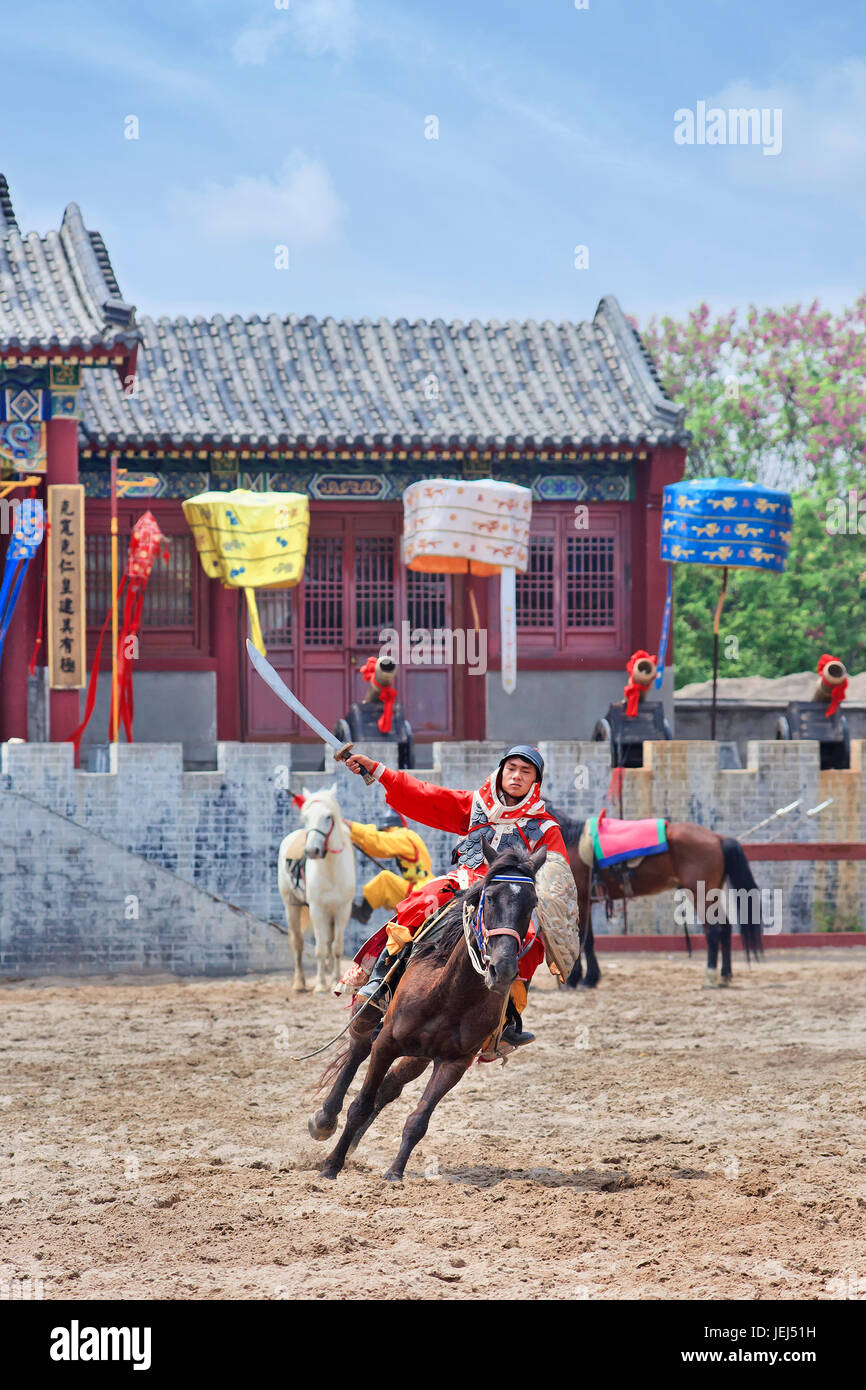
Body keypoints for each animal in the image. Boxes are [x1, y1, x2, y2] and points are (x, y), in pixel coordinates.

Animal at [277, 785, 355, 994]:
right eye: (306, 817)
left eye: (328, 816)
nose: (312, 851)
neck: (330, 870)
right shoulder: (317, 910)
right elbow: (319, 949)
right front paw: (320, 985)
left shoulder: (342, 910)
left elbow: (336, 947)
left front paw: (335, 980)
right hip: (291, 905)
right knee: (298, 943)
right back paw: (299, 983)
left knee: (329, 942)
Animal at [311, 841, 546, 1182]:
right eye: (489, 897)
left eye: (532, 903)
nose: (503, 969)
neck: (449, 994)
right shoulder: (387, 1044)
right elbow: (360, 1105)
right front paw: (331, 1166)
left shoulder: (454, 1063)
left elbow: (418, 1120)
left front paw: (394, 1173)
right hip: (368, 1017)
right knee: (357, 1051)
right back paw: (325, 1120)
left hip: (419, 1056)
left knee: (390, 1086)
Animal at [546, 807, 763, 990]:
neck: (569, 841)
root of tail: (718, 838)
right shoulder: (586, 902)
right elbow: (588, 940)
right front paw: (589, 978)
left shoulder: (580, 900)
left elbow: (580, 939)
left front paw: (576, 979)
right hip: (712, 894)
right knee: (725, 928)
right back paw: (724, 976)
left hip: (700, 895)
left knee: (714, 931)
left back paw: (710, 976)